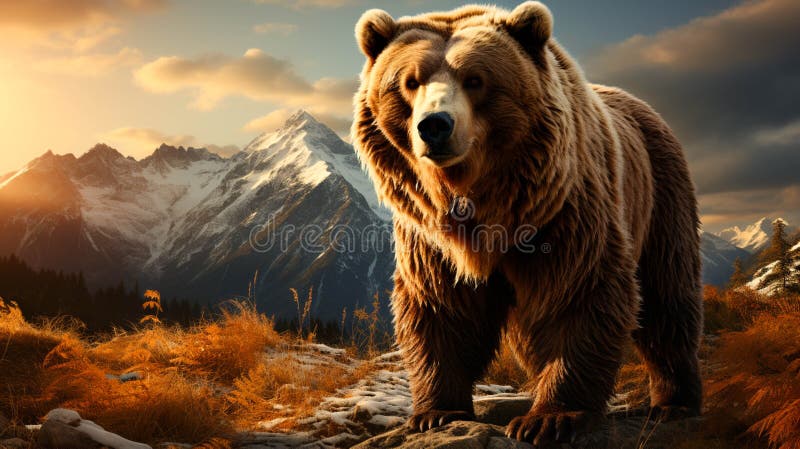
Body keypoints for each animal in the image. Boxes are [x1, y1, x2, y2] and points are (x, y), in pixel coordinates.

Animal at [352, 1, 703, 445]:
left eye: (475, 79)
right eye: (410, 82)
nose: (434, 125)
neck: (487, 200)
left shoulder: (566, 213)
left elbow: (578, 293)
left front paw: (550, 418)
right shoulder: (429, 237)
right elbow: (441, 305)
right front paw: (436, 412)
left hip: (661, 189)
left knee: (666, 296)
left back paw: (674, 402)